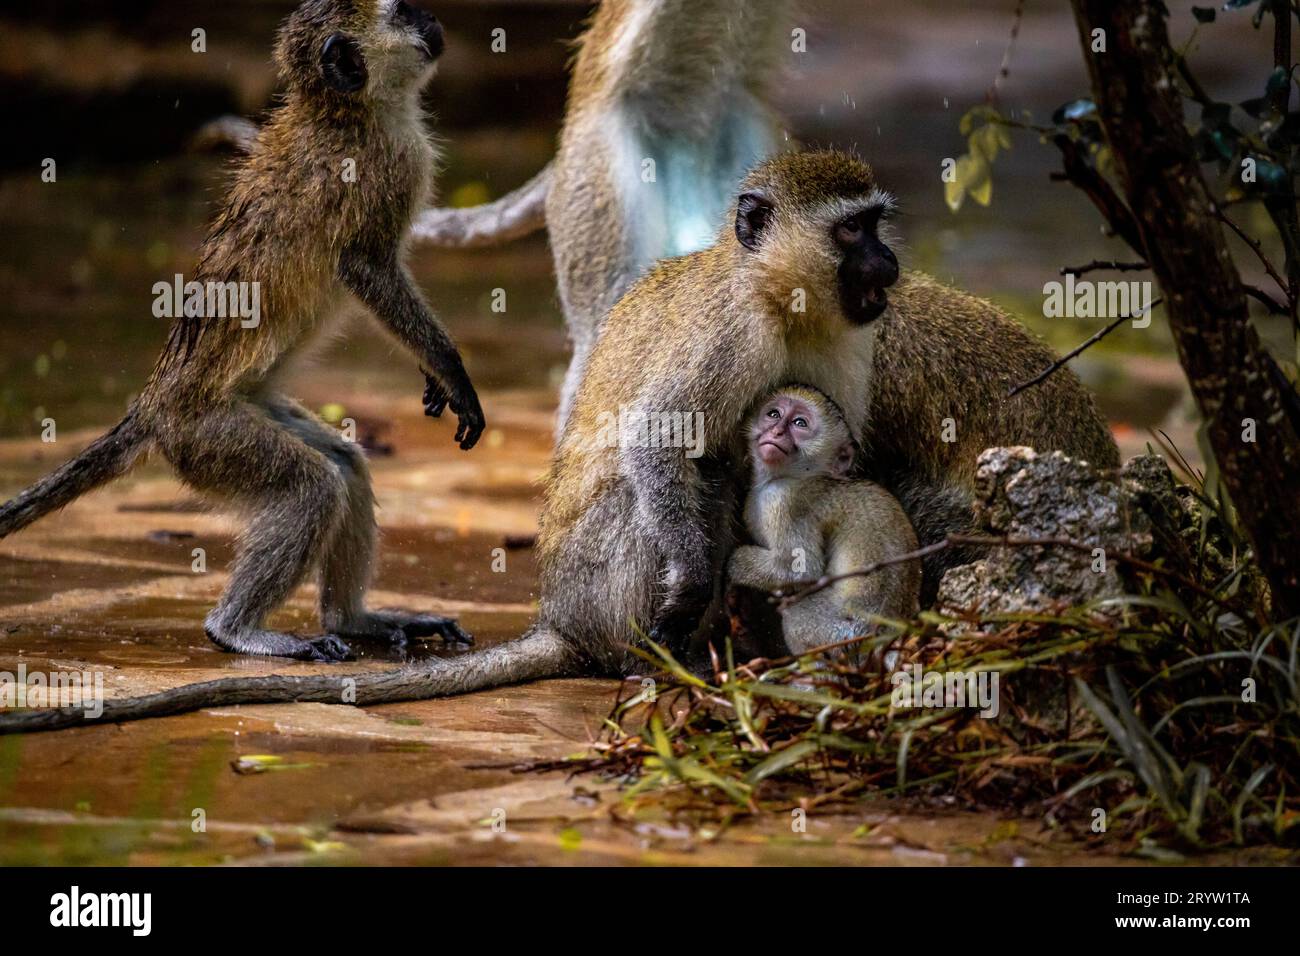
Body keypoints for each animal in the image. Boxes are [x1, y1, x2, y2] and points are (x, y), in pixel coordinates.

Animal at [0, 0, 484, 664]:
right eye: (404, 11)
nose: (434, 19)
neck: (346, 112)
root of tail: (154, 405)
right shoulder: (386, 169)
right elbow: (369, 270)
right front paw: (453, 372)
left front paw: (434, 376)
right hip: (207, 437)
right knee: (311, 487)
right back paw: (235, 630)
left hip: (244, 412)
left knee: (344, 465)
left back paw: (353, 619)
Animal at [727, 385, 920, 658]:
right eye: (774, 414)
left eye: (800, 423)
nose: (776, 432)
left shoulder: (785, 502)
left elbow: (799, 569)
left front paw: (733, 566)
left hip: (843, 632)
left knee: (797, 612)